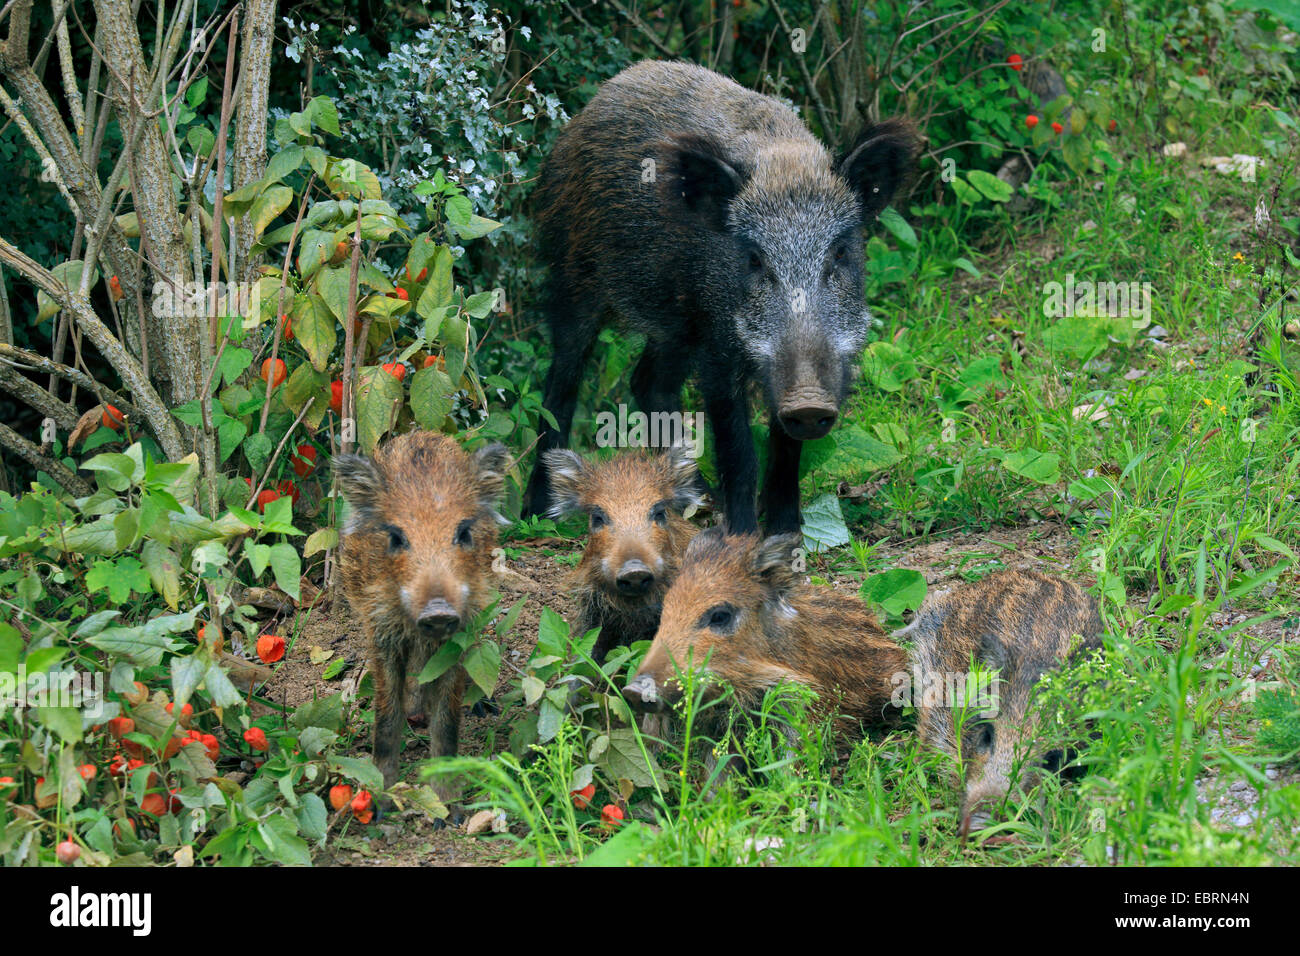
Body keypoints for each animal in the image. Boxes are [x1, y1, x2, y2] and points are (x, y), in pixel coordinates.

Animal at [334, 431, 509, 812]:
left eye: (464, 532)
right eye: (396, 537)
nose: (438, 610)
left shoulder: (461, 630)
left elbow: (447, 718)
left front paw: (448, 809)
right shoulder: (380, 628)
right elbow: (386, 714)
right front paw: (381, 801)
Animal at [521, 59, 921, 535]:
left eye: (840, 251)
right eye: (753, 258)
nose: (809, 398)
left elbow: (785, 453)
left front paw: (787, 534)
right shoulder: (719, 350)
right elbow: (740, 453)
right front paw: (744, 537)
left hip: (676, 323)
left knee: (647, 381)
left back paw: (698, 497)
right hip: (573, 272)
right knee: (562, 381)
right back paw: (537, 514)